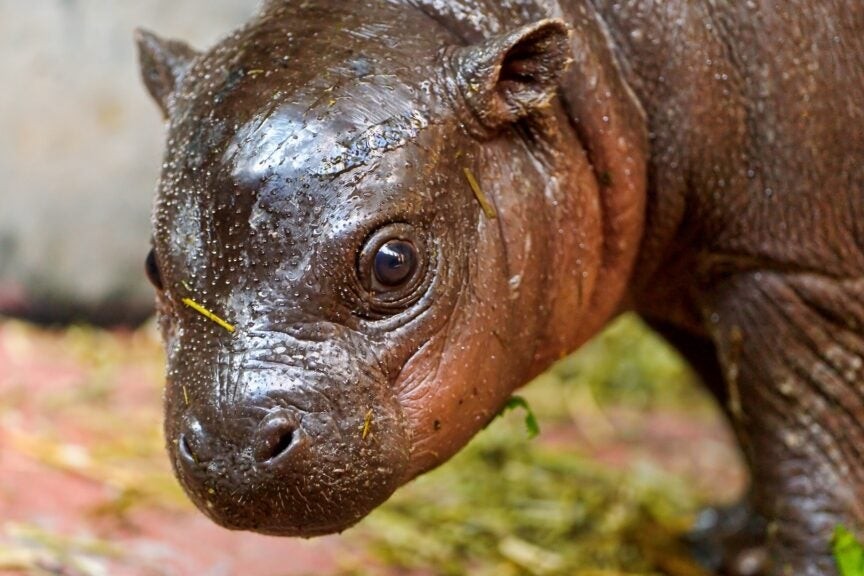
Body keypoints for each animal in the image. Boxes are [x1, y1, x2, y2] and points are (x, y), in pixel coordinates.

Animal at [136, 1, 864, 574]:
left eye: (393, 261)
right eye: (151, 265)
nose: (231, 448)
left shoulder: (788, 274)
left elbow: (809, 454)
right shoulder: (687, 277)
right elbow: (744, 414)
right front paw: (730, 544)